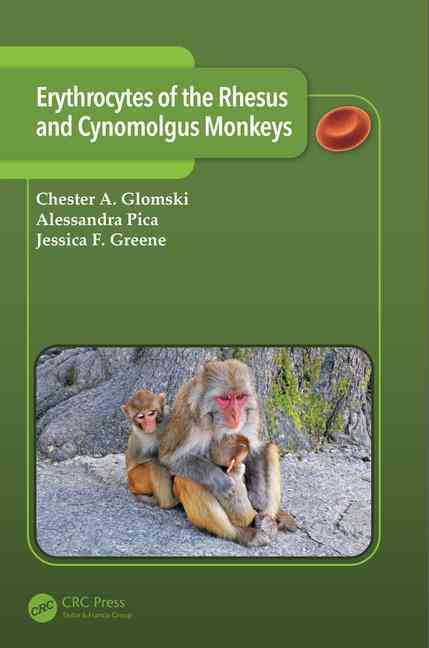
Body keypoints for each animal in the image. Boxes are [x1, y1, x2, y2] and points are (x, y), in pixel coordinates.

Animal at [160, 359, 297, 545]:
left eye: (239, 397)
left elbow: (256, 451)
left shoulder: (252, 415)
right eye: (225, 398)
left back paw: (268, 519)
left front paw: (258, 500)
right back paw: (242, 534)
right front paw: (220, 481)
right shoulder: (188, 418)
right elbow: (170, 459)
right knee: (187, 480)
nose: (235, 415)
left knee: (270, 449)